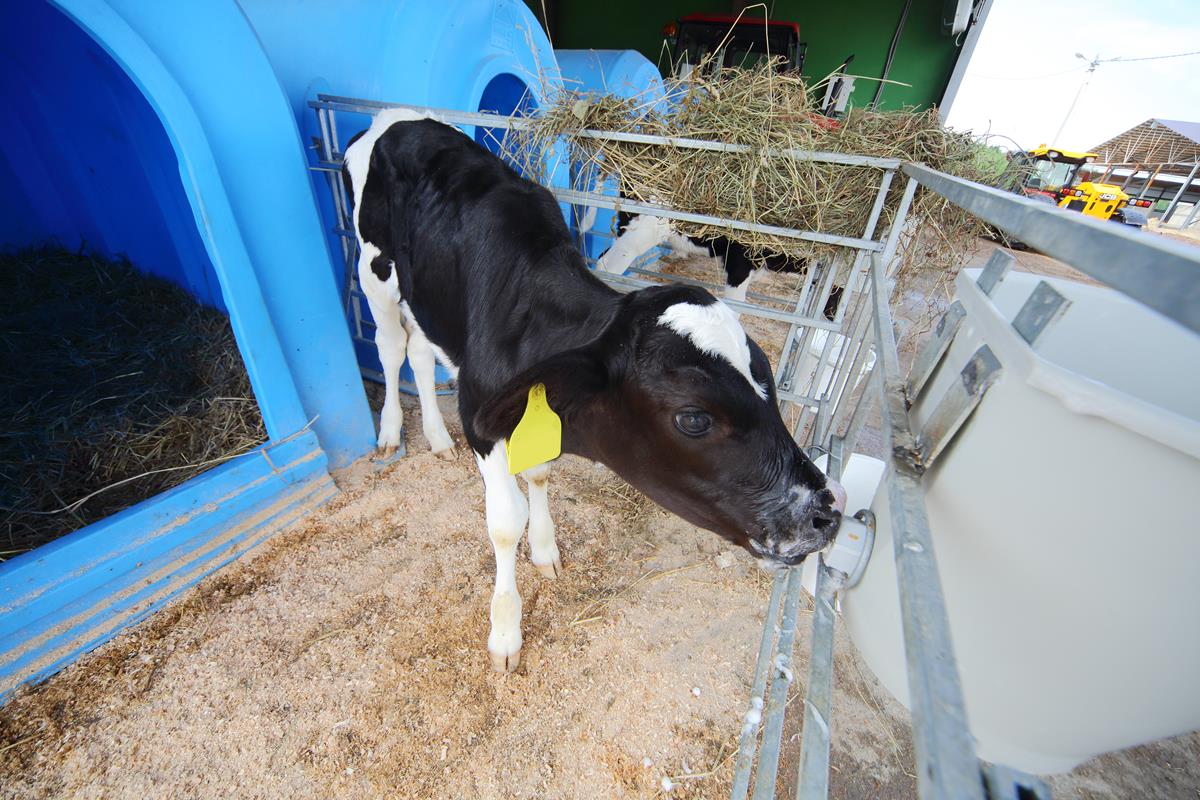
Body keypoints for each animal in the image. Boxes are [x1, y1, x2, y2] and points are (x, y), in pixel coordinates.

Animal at [342, 109, 846, 672]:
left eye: (770, 385)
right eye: (694, 418)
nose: (827, 513)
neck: (528, 312)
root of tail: (393, 118)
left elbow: (539, 474)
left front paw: (544, 550)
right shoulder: (481, 419)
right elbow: (505, 523)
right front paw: (505, 632)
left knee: (419, 352)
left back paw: (434, 436)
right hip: (374, 270)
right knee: (390, 348)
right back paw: (391, 432)